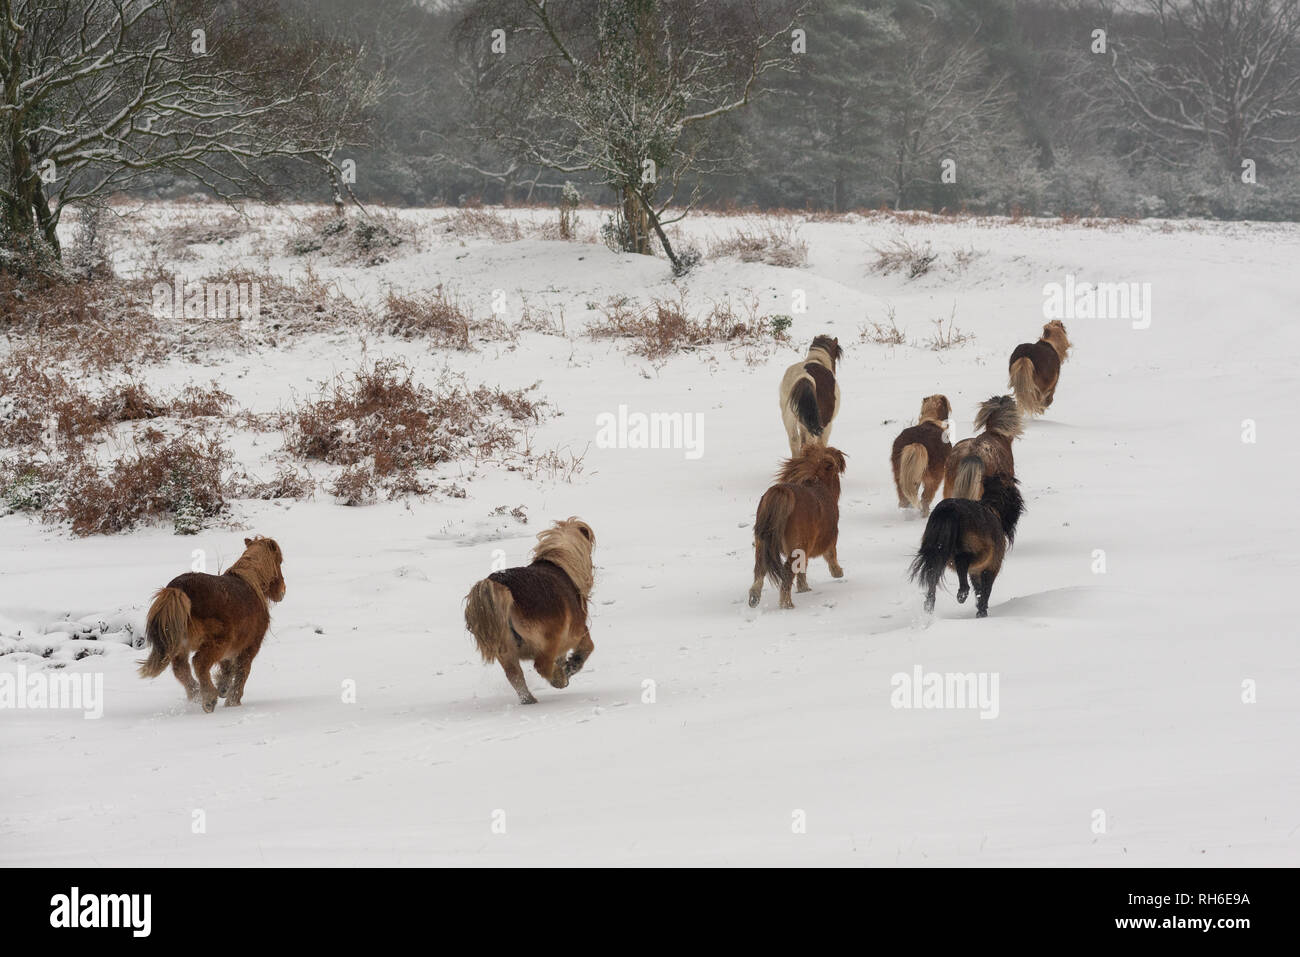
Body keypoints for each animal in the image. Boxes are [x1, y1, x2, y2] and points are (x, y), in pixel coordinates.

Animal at [138, 536, 286, 712]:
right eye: (280, 561)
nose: (282, 591)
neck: (252, 583)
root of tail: (178, 590)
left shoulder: (231, 649)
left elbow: (227, 668)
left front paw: (223, 688)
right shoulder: (249, 647)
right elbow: (242, 672)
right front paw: (233, 701)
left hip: (181, 646)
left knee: (181, 669)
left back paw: (197, 694)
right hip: (216, 643)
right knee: (199, 663)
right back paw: (208, 699)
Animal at [463, 517, 596, 705]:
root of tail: (499, 585)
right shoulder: (577, 632)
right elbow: (587, 648)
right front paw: (571, 667)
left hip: (506, 651)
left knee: (515, 676)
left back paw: (529, 699)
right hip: (549, 640)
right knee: (542, 666)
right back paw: (559, 678)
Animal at [747, 444, 847, 610]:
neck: (817, 482)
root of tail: (782, 492)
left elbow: (802, 570)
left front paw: (804, 588)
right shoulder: (829, 538)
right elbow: (831, 555)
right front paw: (837, 572)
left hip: (762, 544)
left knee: (759, 570)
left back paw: (754, 597)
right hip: (796, 549)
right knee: (787, 575)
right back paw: (787, 604)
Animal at [910, 474, 1024, 618]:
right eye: (1013, 491)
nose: (1020, 505)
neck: (992, 508)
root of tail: (948, 510)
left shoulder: (975, 571)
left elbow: (979, 590)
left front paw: (980, 609)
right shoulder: (991, 566)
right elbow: (985, 590)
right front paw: (982, 612)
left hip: (937, 554)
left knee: (933, 578)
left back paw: (929, 606)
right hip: (970, 552)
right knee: (962, 564)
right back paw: (962, 594)